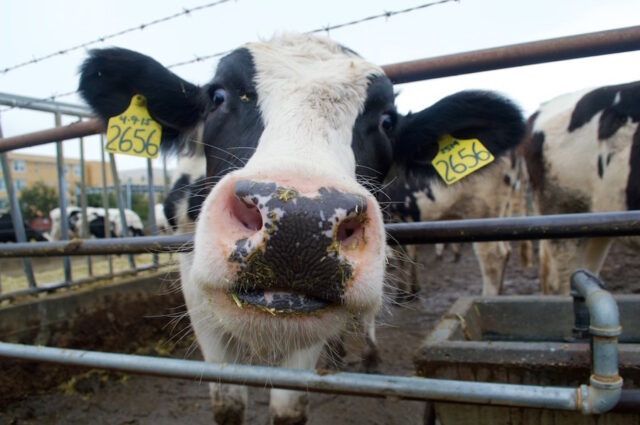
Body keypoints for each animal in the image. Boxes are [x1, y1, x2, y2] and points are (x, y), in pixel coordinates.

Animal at [78, 33, 524, 425]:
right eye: (218, 97)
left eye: (387, 120)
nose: (299, 223)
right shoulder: (194, 286)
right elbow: (228, 404)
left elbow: (288, 408)